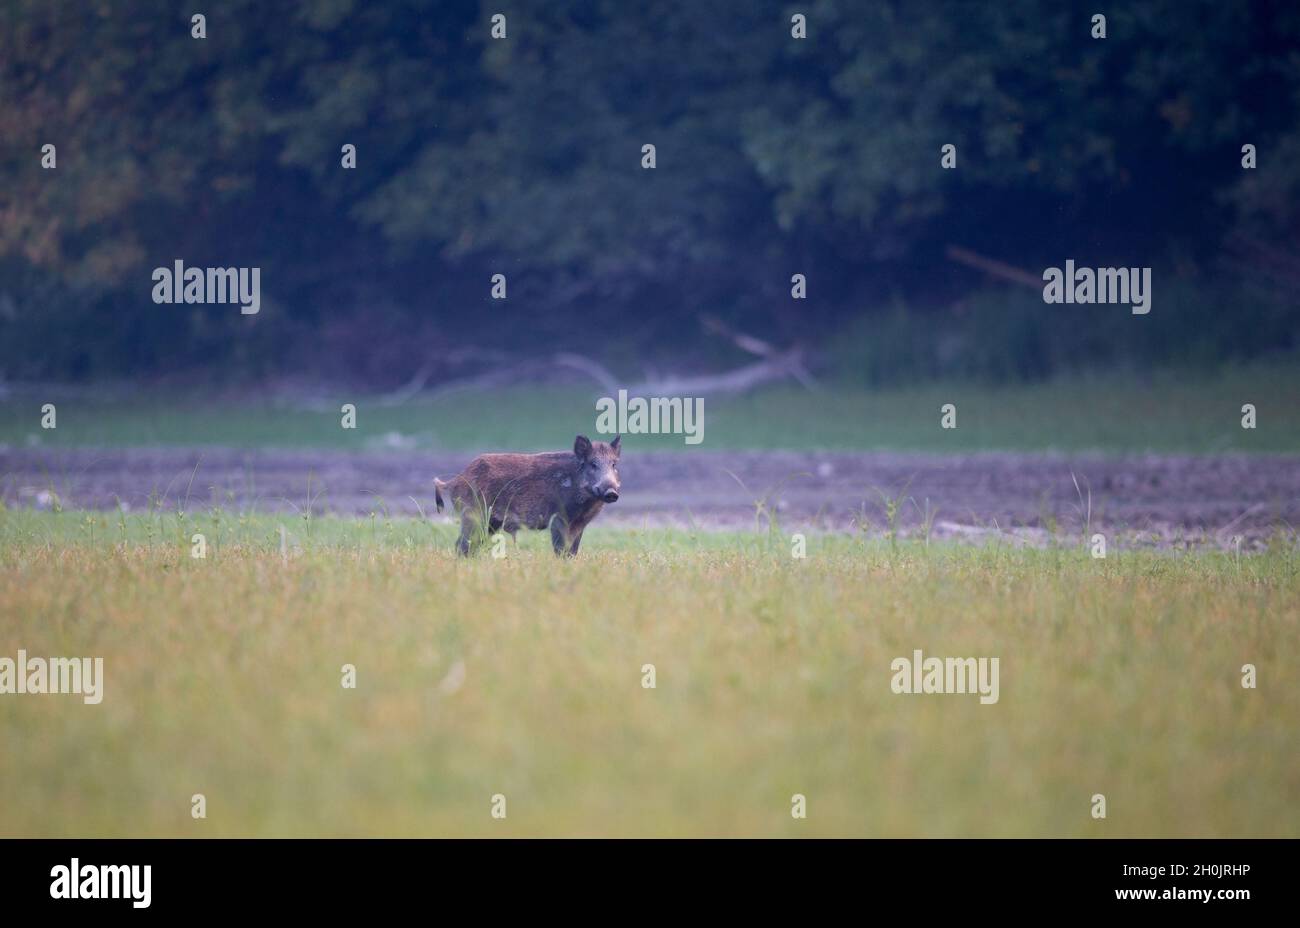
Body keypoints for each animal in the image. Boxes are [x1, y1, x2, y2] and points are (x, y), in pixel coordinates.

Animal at [434, 434, 621, 557]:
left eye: (613, 464)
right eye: (593, 464)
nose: (611, 492)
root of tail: (457, 478)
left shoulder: (580, 524)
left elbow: (573, 551)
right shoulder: (558, 518)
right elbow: (561, 550)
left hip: (490, 522)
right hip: (473, 514)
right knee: (461, 545)